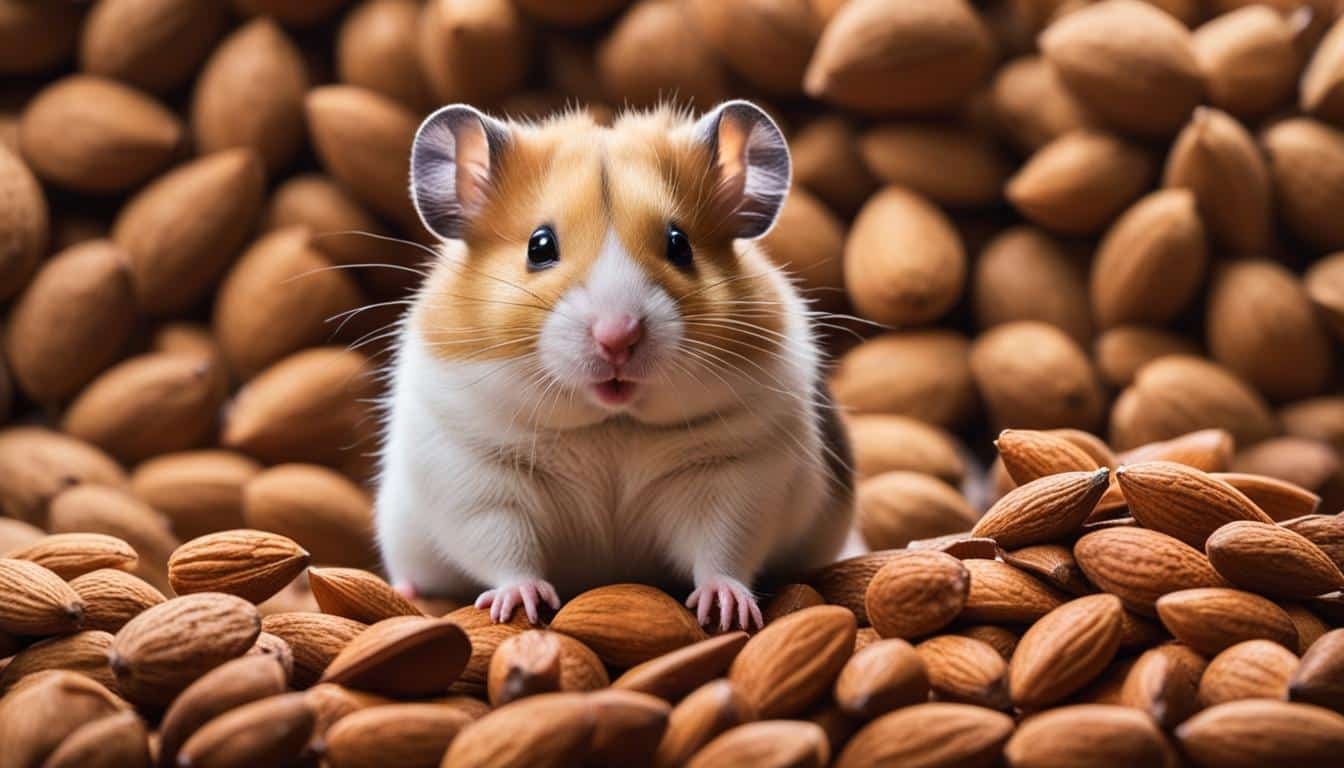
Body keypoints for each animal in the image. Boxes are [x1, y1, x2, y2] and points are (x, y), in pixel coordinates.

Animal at [376, 100, 853, 630]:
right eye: (539, 246)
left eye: (679, 244)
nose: (617, 338)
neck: (612, 423)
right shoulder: (477, 479)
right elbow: (505, 549)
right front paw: (520, 605)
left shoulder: (737, 475)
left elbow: (723, 549)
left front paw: (728, 611)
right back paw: (408, 590)